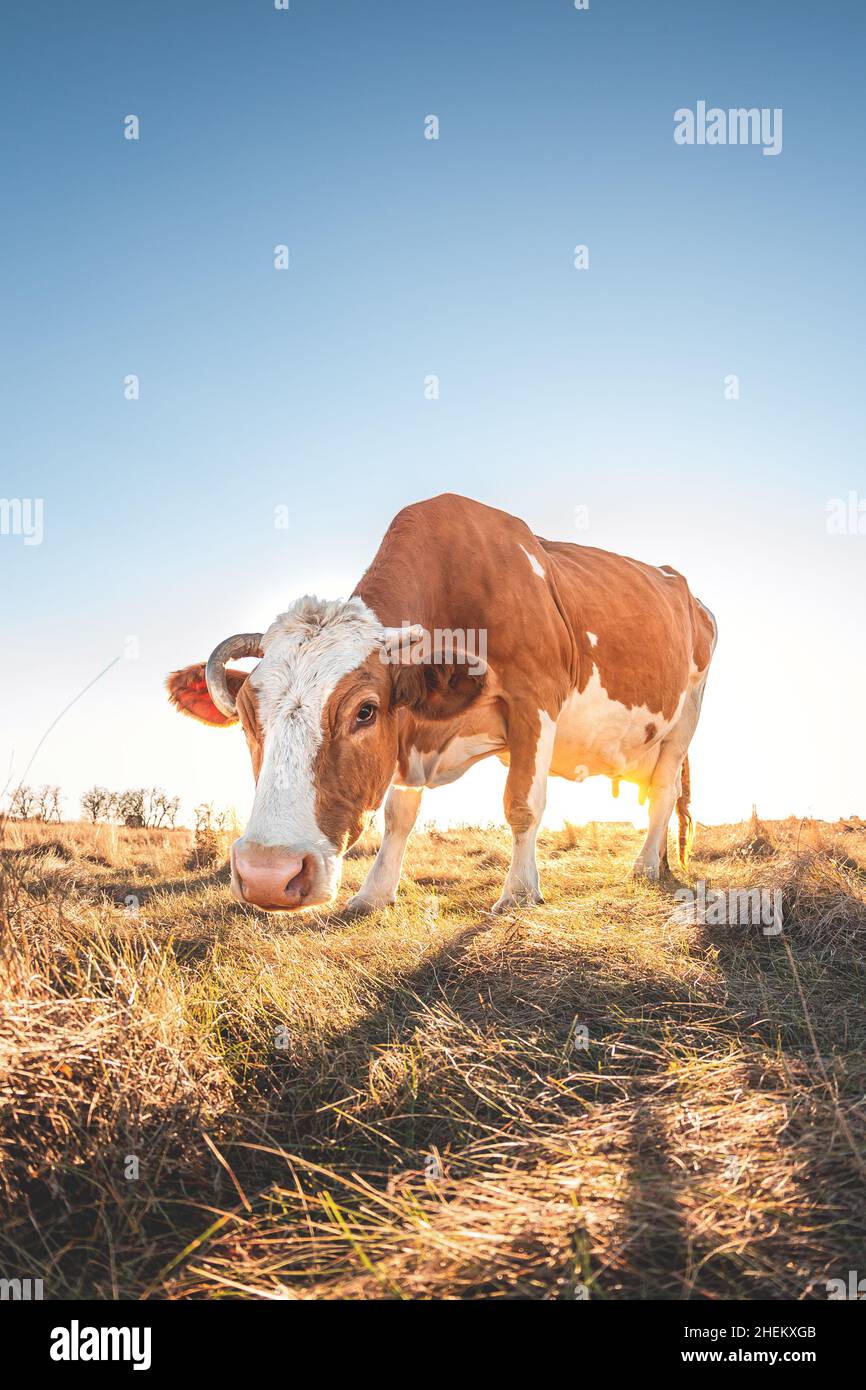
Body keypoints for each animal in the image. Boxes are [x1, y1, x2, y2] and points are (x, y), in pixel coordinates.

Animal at [166, 494, 716, 913]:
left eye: (364, 711)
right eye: (247, 719)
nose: (267, 874)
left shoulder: (535, 699)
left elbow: (522, 804)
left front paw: (519, 894)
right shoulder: (409, 730)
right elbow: (398, 814)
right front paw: (373, 894)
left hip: (685, 717)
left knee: (663, 791)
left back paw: (643, 868)